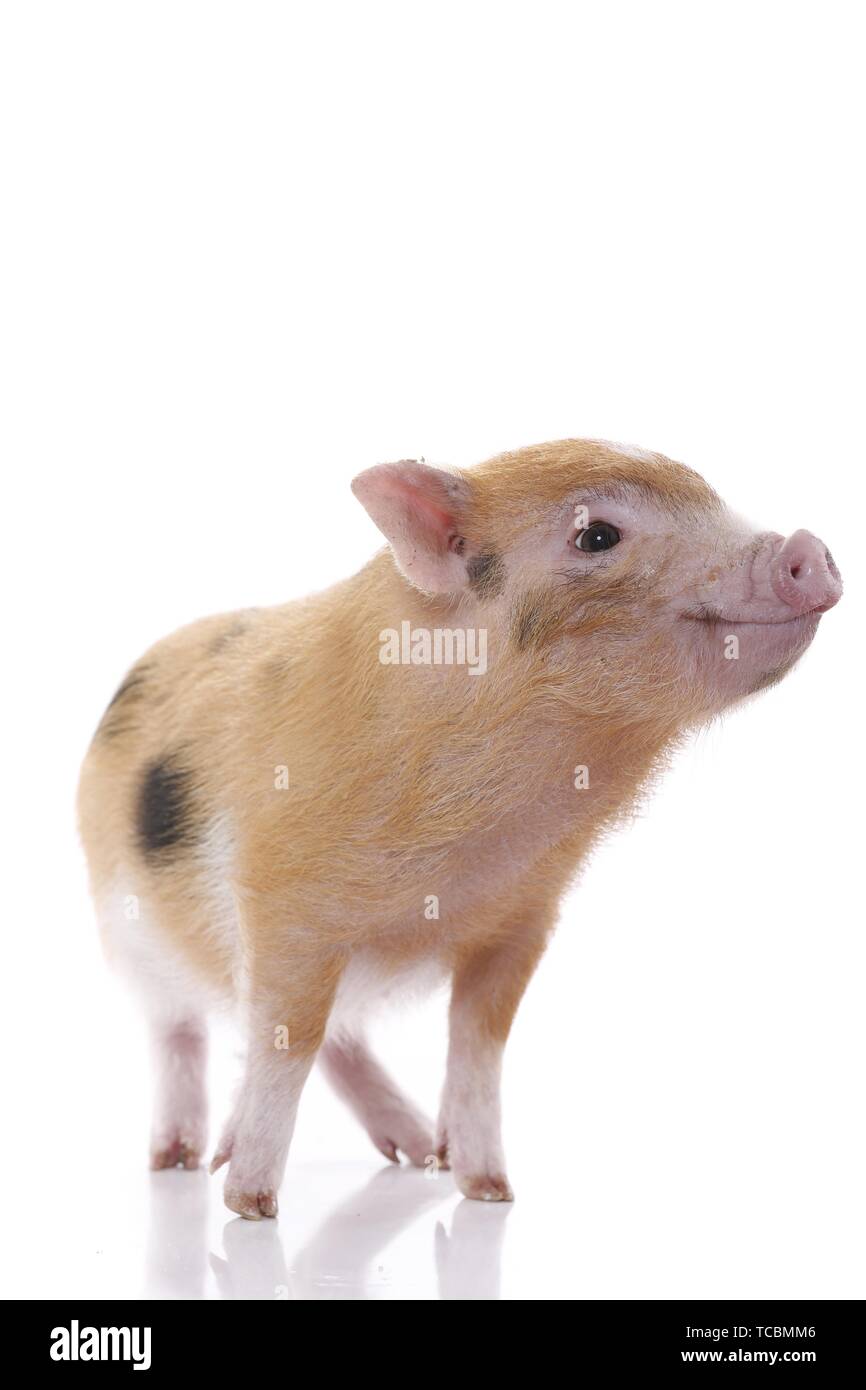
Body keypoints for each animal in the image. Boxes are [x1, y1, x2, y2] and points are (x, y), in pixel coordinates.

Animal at [77, 439, 842, 1217]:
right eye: (597, 535)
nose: (807, 547)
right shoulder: (280, 901)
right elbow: (284, 1042)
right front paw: (250, 1203)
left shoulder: (523, 917)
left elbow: (478, 1041)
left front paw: (488, 1191)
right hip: (123, 920)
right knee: (179, 1028)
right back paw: (177, 1160)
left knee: (339, 1038)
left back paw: (416, 1154)